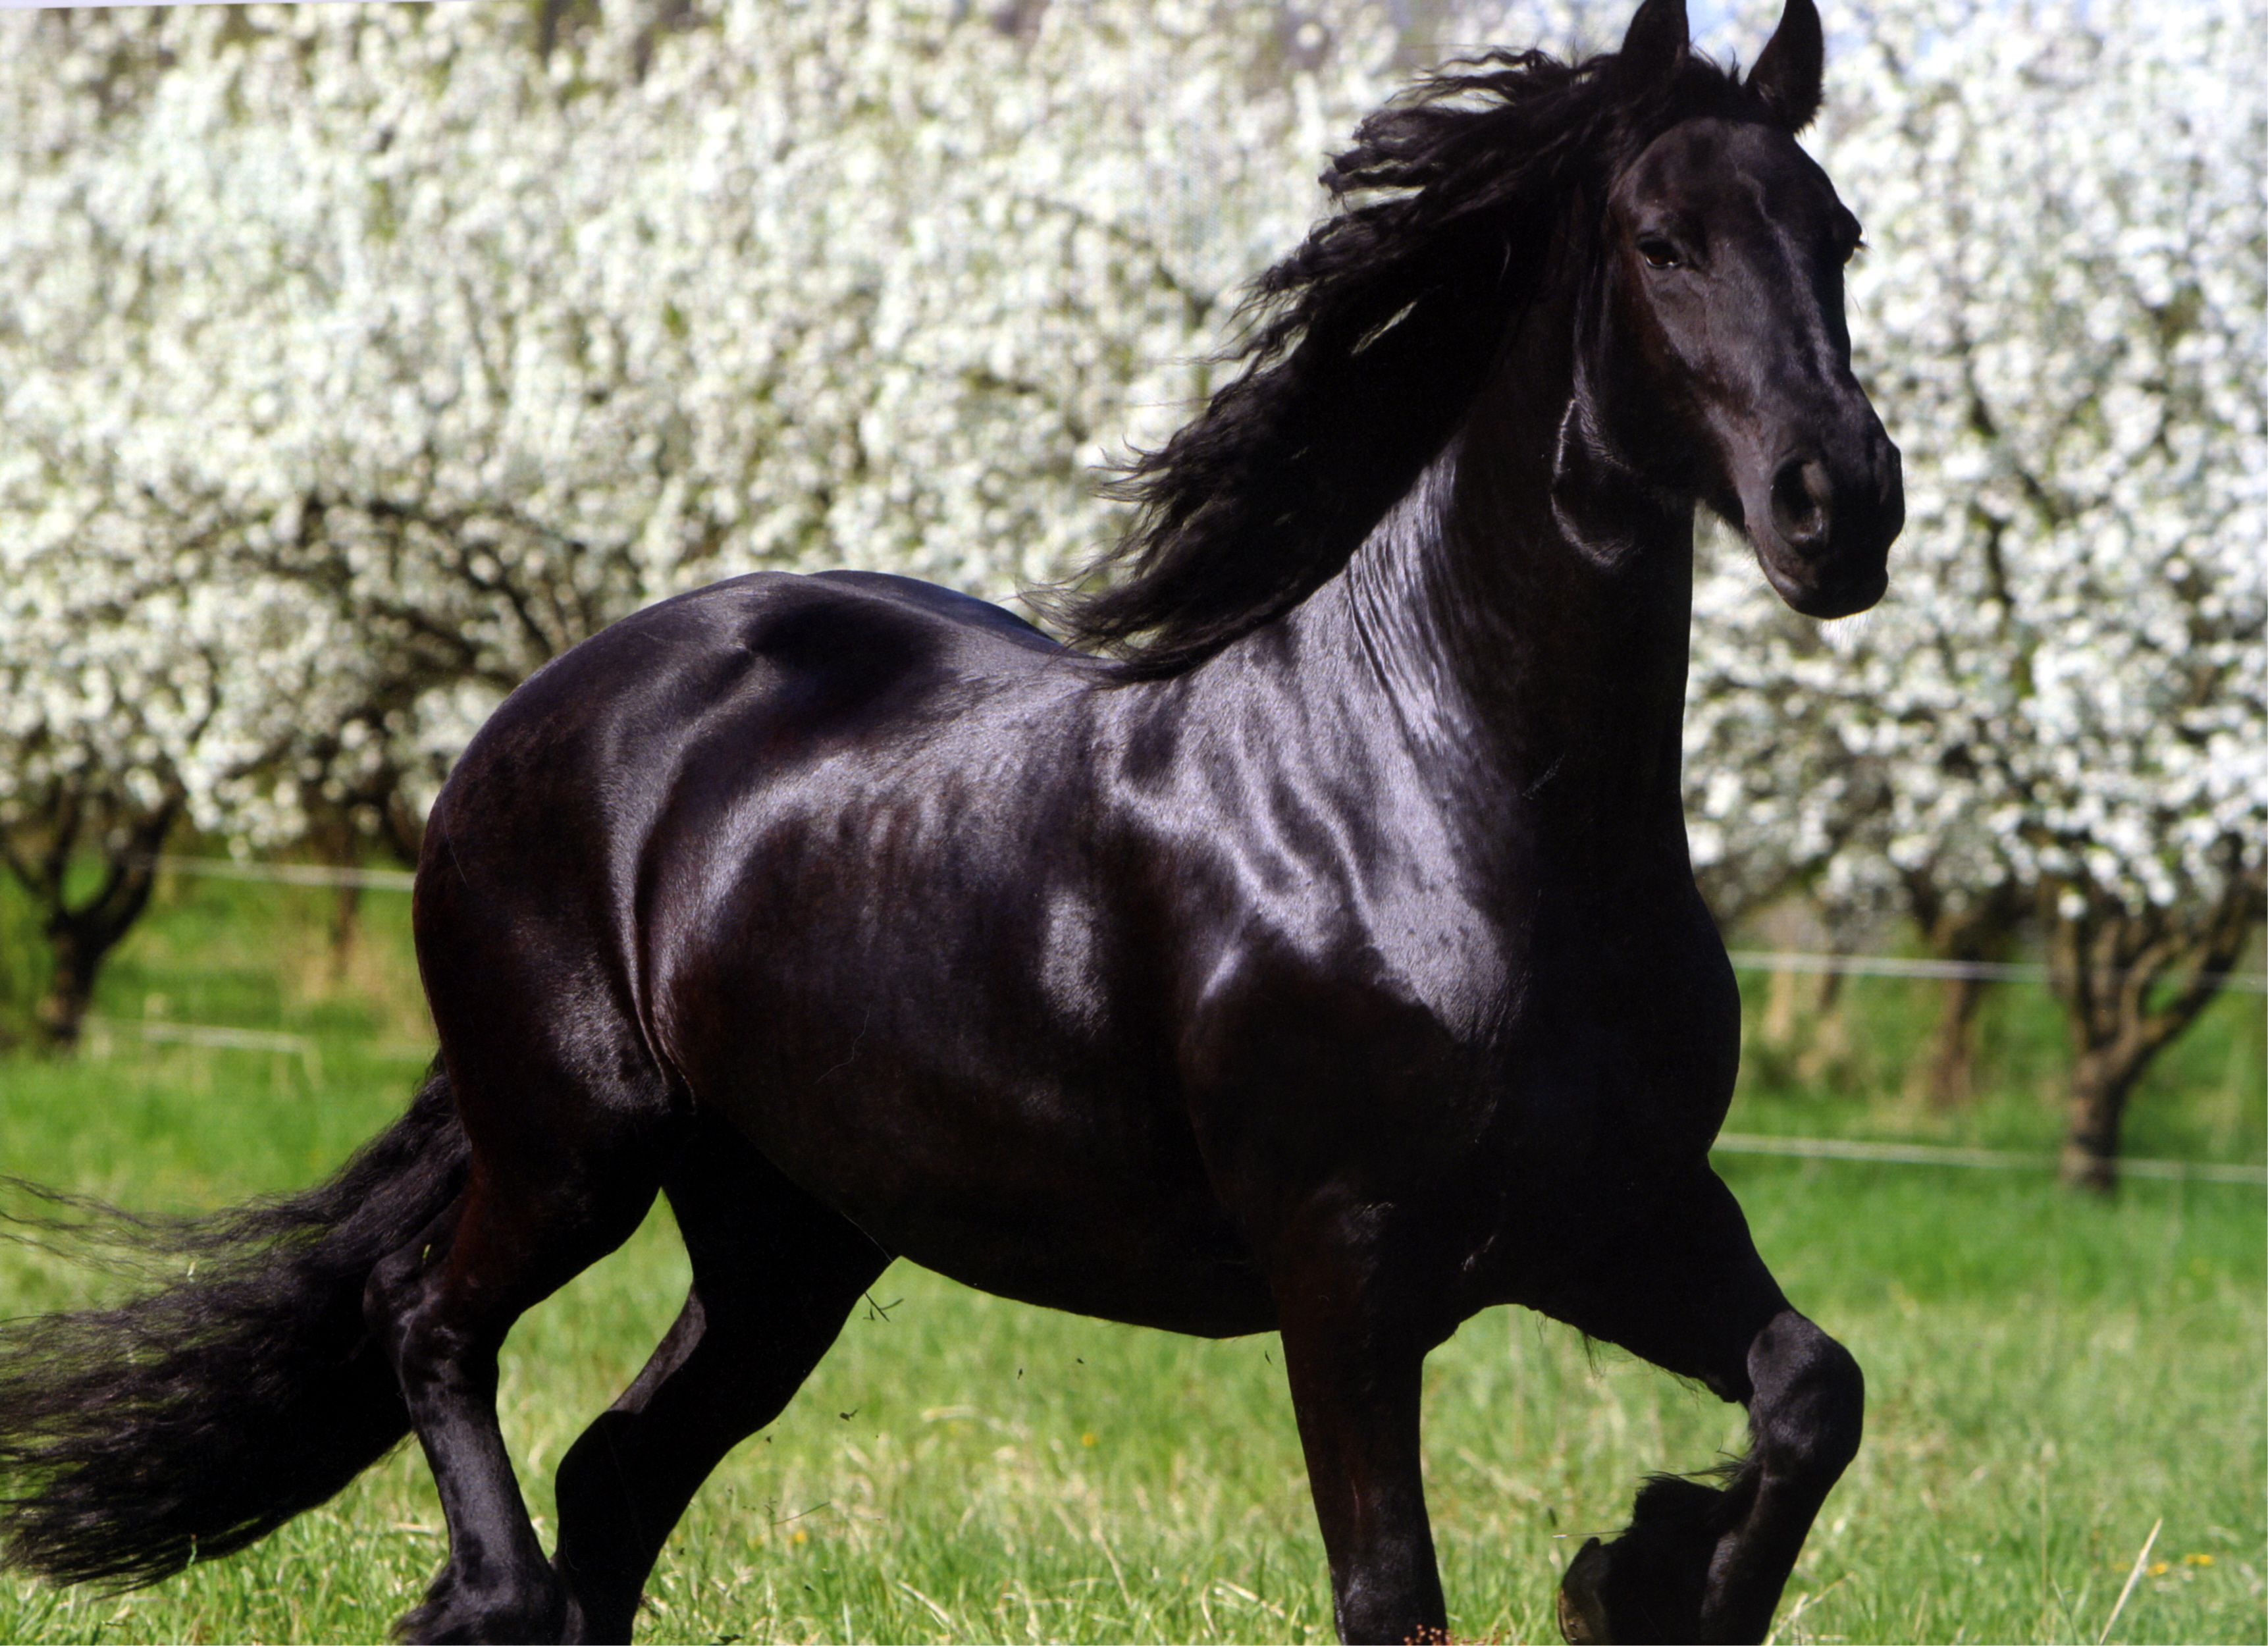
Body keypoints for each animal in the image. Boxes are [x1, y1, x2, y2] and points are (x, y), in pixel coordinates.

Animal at [0, 1, 1902, 1639]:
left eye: (1838, 234)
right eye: (1661, 241)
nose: (1841, 507)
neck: (1445, 803)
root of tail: (540, 713)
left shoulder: (1615, 1213)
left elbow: (1813, 1389)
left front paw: (1644, 1568)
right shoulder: (1346, 1265)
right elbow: (1390, 1593)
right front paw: (1635, 1565)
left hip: (788, 1234)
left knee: (613, 1471)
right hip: (574, 1141)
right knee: (430, 1330)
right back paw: (486, 1596)